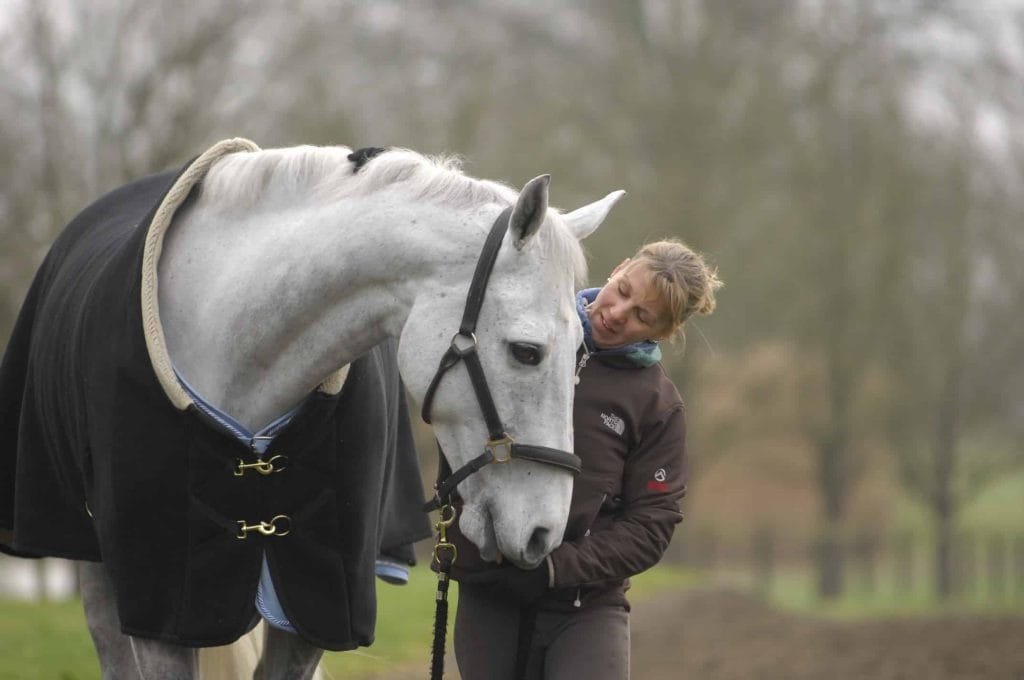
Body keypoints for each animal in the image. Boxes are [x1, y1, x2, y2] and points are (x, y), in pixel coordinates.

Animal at [0, 138, 625, 677]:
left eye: (581, 352)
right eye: (526, 351)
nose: (546, 533)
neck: (238, 343)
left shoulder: (317, 598)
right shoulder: (161, 604)